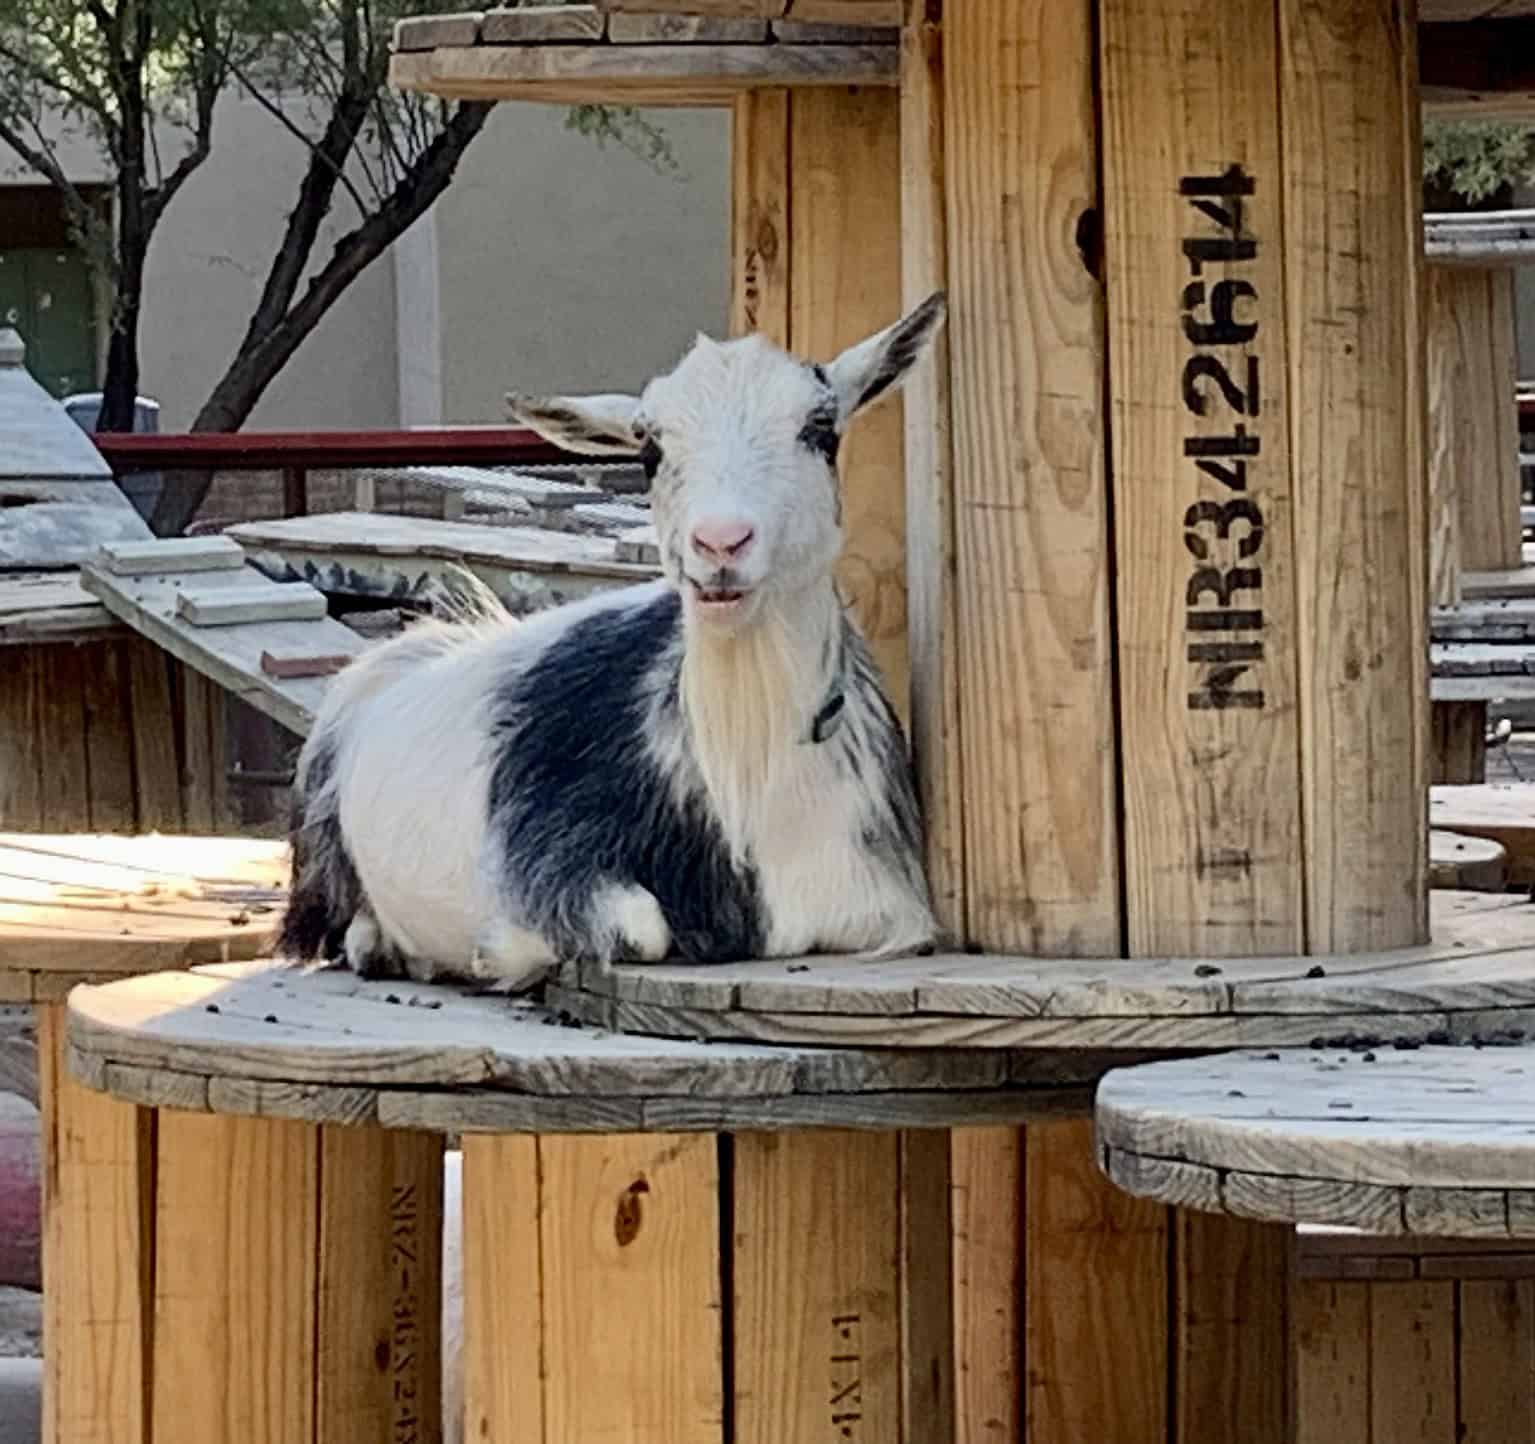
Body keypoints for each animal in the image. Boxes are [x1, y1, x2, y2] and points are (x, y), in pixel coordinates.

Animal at [278, 292, 947, 988]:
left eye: (820, 429)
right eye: (649, 448)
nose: (721, 543)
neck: (748, 785)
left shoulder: (879, 903)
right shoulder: (548, 850)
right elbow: (639, 927)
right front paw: (497, 953)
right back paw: (383, 945)